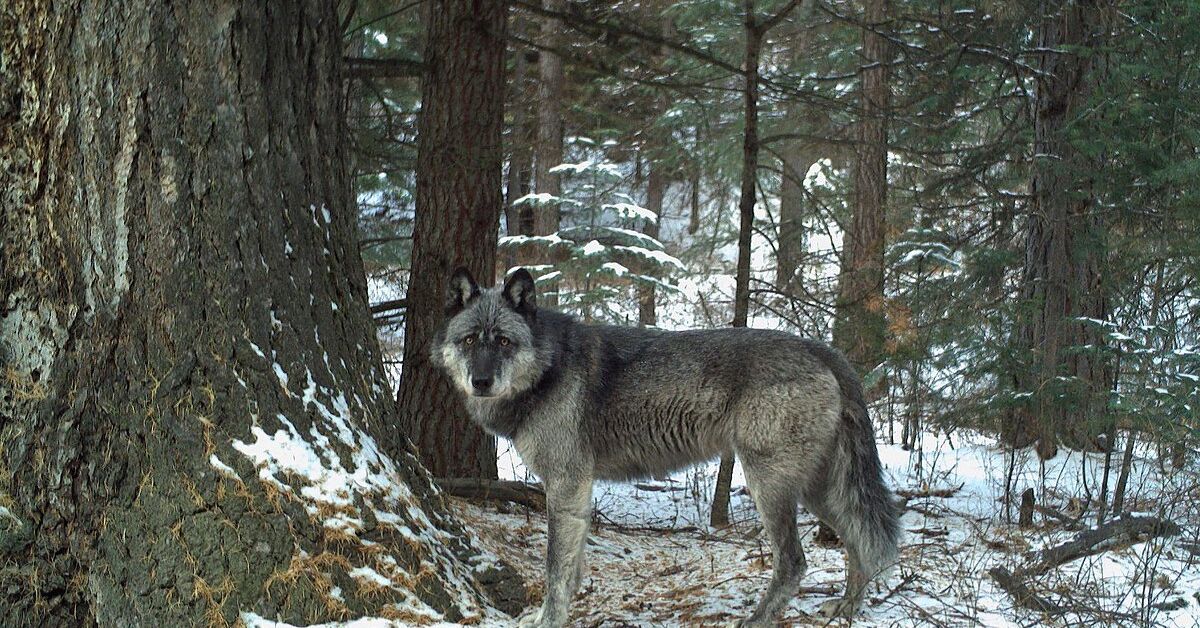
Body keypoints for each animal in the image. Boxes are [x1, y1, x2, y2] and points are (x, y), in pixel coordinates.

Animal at [432, 267, 900, 627]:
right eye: (470, 340)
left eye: (503, 342)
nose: (481, 381)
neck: (549, 369)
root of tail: (824, 350)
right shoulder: (576, 493)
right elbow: (572, 567)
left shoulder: (566, 486)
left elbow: (554, 570)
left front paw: (549, 620)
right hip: (820, 492)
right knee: (859, 546)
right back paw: (847, 609)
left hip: (771, 488)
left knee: (795, 562)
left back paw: (758, 619)